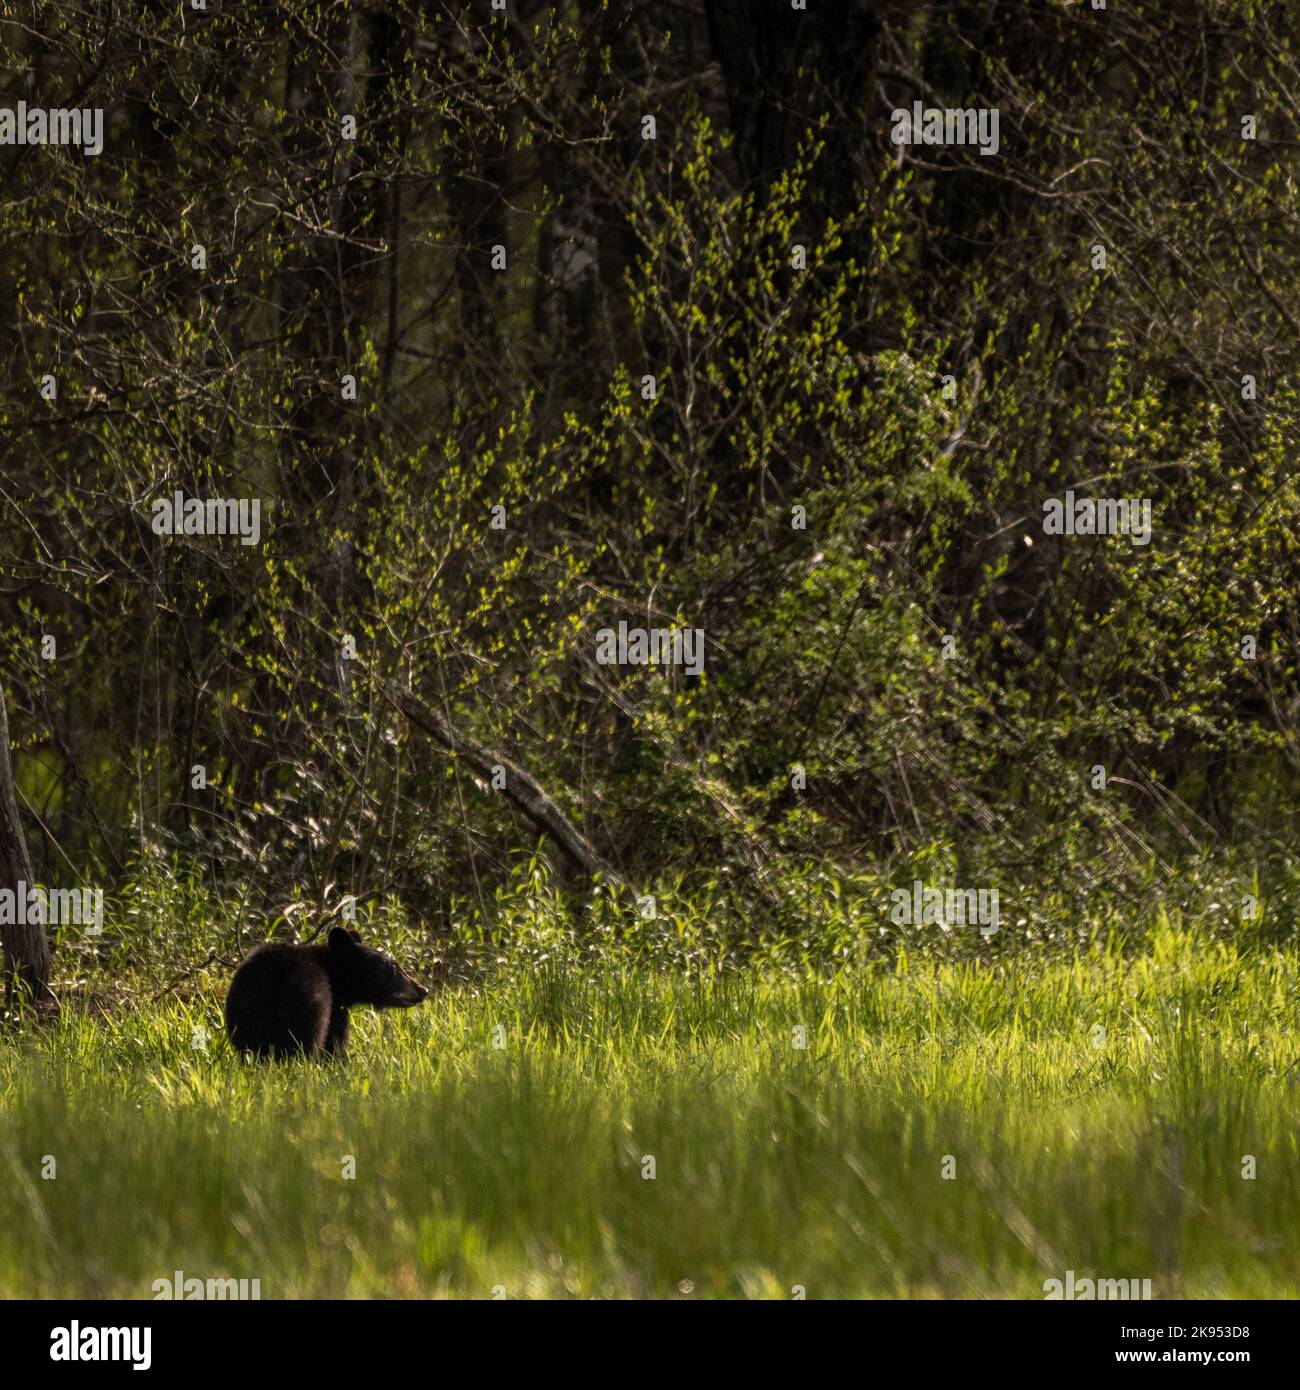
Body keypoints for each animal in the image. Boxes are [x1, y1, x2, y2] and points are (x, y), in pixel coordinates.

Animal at [224, 926, 427, 1060]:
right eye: (394, 966)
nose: (423, 990)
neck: (335, 974)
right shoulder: (335, 1005)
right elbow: (336, 1041)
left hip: (246, 1011)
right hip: (307, 1007)